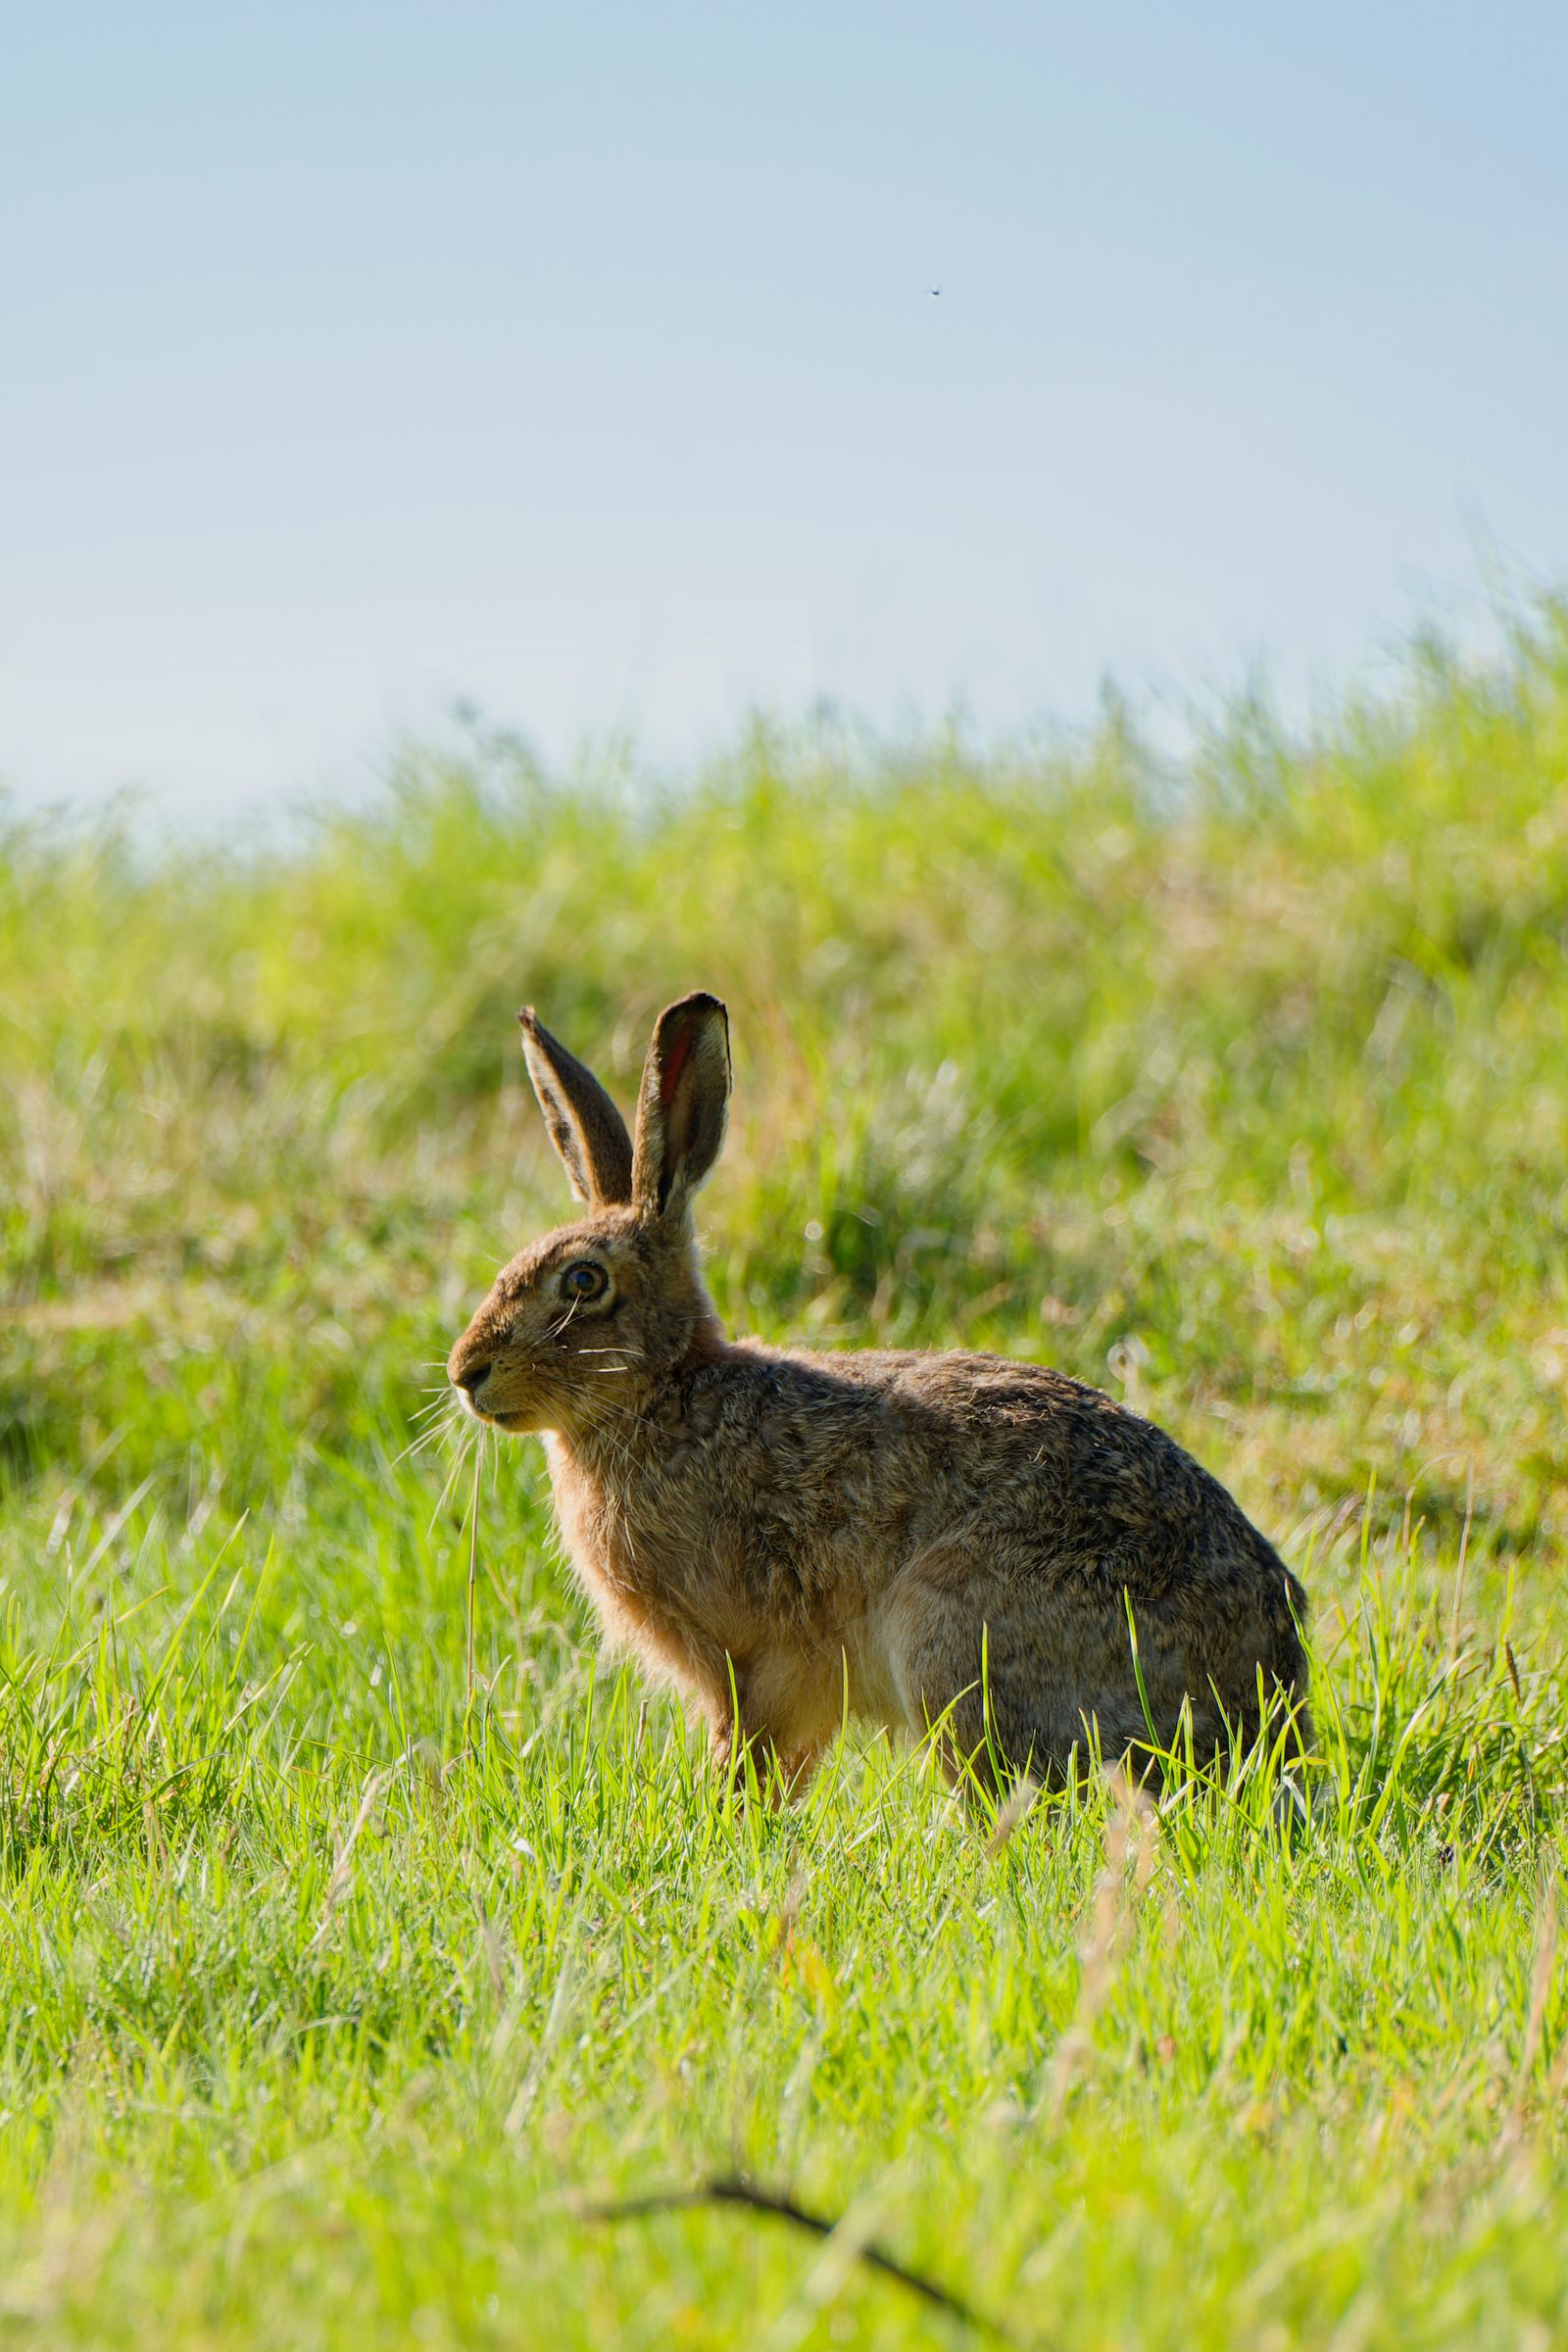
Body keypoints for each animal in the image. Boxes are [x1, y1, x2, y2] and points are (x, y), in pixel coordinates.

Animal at [447, 991, 1310, 1798]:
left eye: (583, 1282)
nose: (465, 1372)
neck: (664, 1392)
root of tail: (1266, 1697)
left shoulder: (753, 1660)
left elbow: (747, 1753)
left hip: (949, 1637)